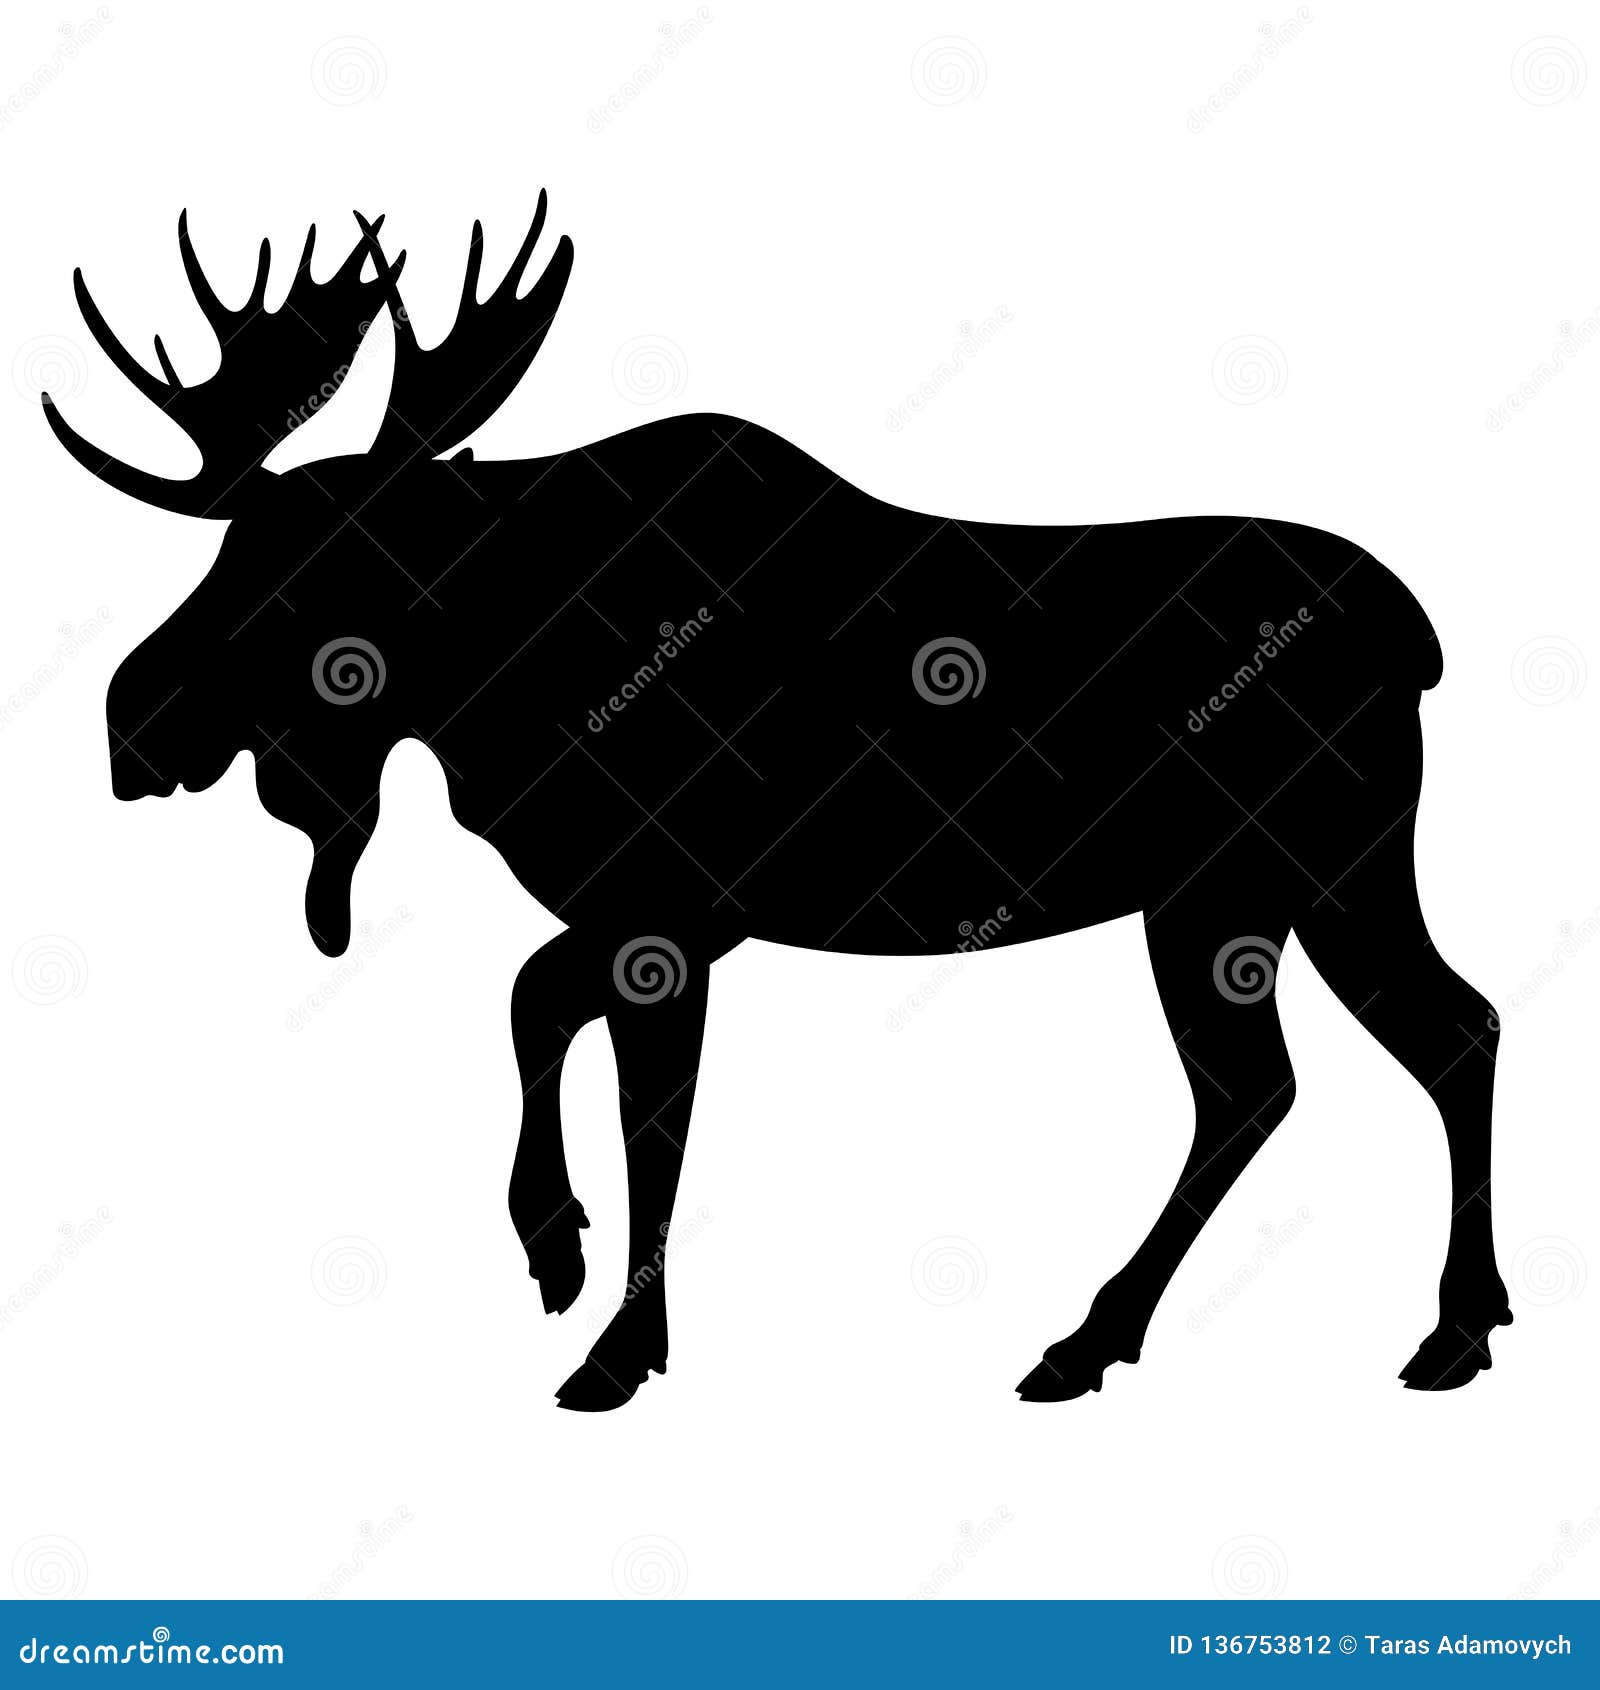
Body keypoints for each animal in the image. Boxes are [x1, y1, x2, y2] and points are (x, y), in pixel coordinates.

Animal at [43, 196, 1511, 1410]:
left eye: (314, 564)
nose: (130, 716)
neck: (499, 674)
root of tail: (1418, 638)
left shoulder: (669, 913)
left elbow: (639, 1114)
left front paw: (616, 1345)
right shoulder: (669, 915)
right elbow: (533, 1004)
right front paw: (553, 1246)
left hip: (1291, 871)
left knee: (1368, 1054)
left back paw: (1399, 1328)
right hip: (1253, 889)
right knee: (1342, 1061)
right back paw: (1172, 1335)